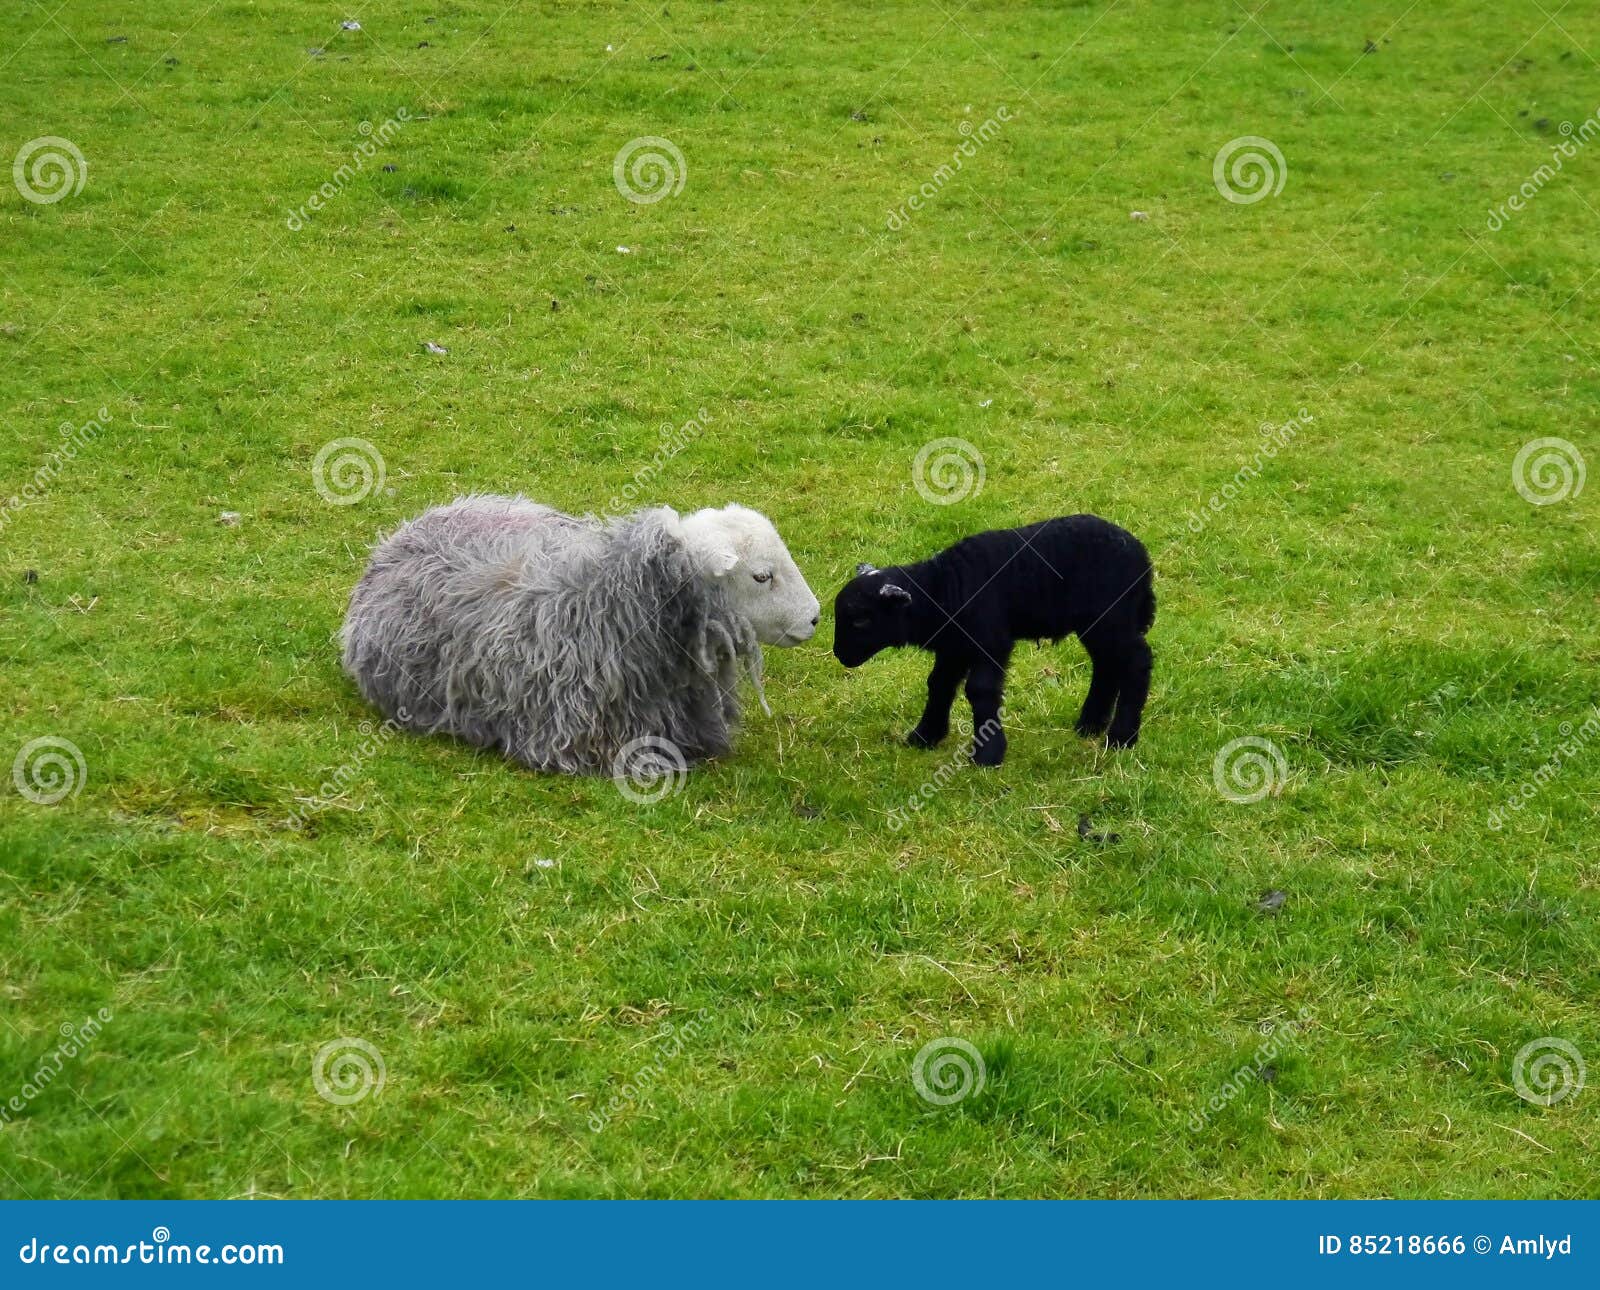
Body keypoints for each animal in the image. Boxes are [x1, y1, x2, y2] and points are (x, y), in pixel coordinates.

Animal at [832, 514, 1154, 766]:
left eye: (861, 620)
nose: (839, 654)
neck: (942, 589)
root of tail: (1142, 558)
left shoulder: (991, 642)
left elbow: (980, 690)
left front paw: (988, 754)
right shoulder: (954, 647)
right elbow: (938, 684)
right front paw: (925, 735)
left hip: (1113, 618)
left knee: (1137, 662)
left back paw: (1121, 738)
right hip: (1095, 624)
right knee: (1107, 665)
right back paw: (1090, 726)